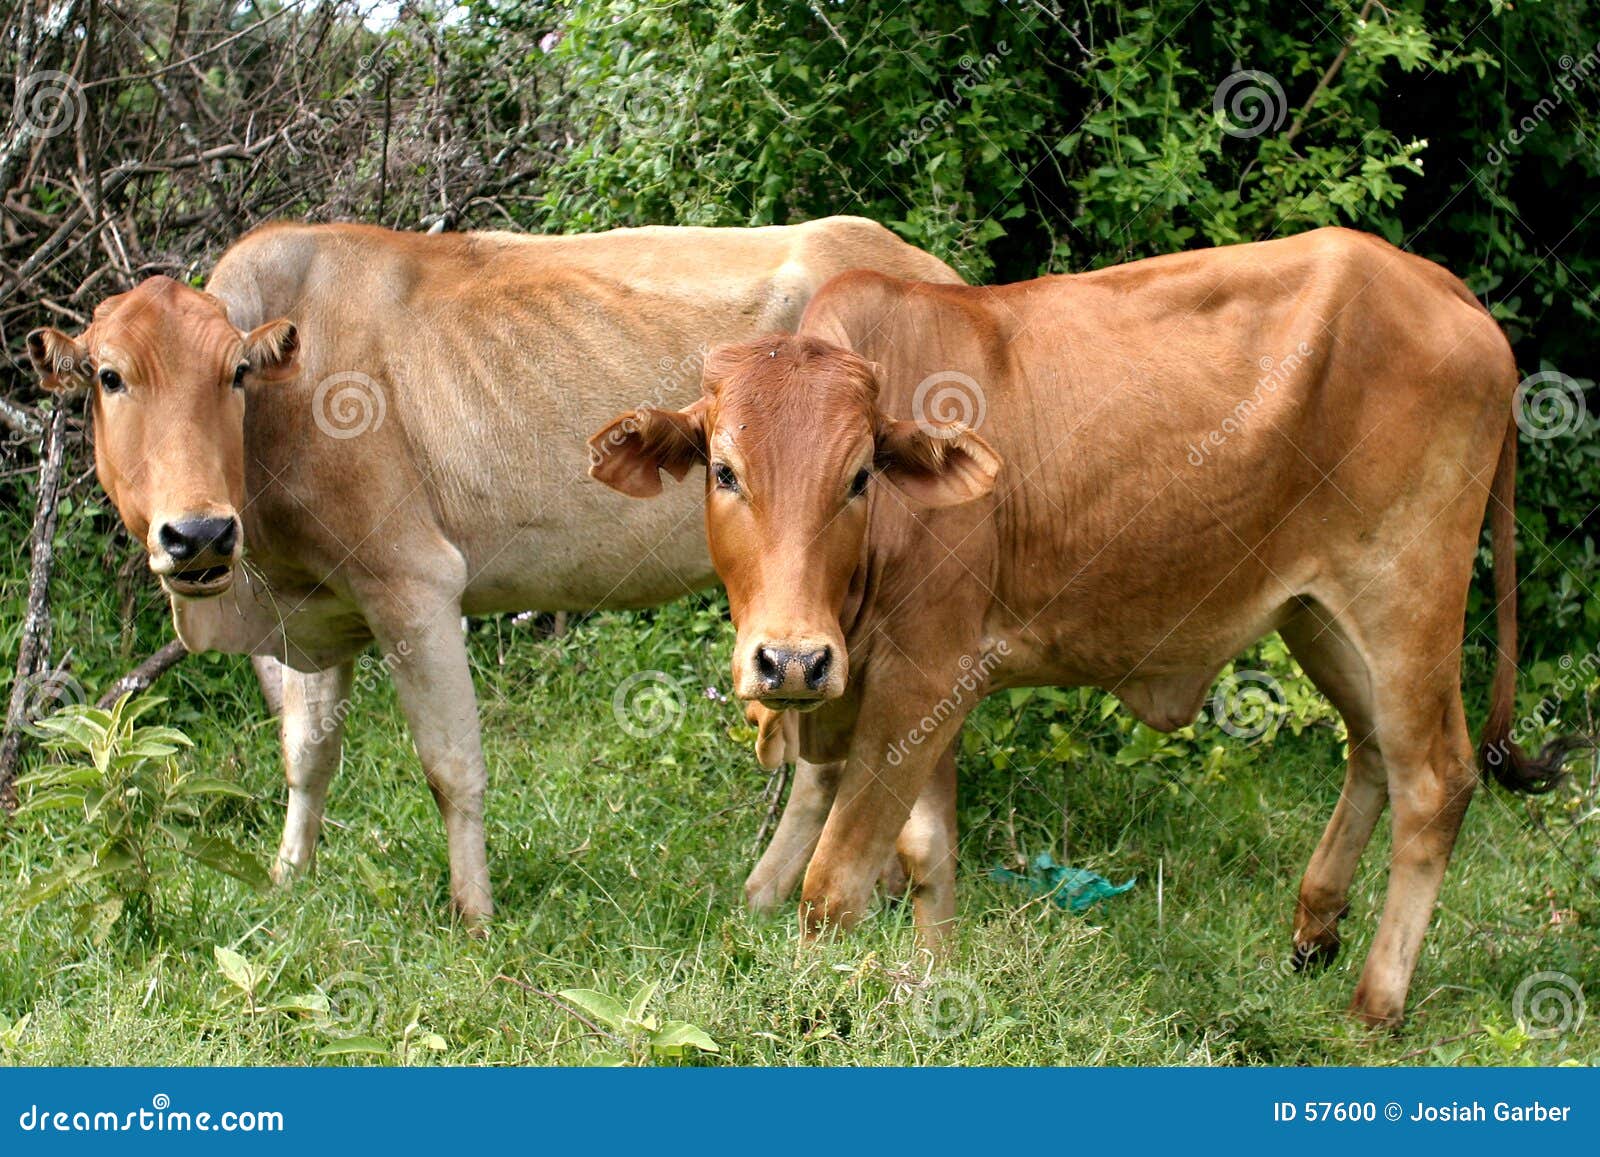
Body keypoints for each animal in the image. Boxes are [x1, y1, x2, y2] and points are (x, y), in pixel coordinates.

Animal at [24, 216, 962, 925]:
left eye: (235, 373)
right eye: (109, 375)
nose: (199, 534)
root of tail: (926, 267)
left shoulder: (414, 585)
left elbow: (451, 767)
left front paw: (472, 915)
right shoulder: (323, 607)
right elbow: (306, 754)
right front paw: (289, 878)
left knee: (841, 753)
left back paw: (776, 893)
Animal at [588, 226, 1572, 1026]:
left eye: (860, 475)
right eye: (724, 470)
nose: (791, 660)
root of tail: (1440, 285)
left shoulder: (923, 670)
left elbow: (834, 884)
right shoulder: (932, 686)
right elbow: (929, 855)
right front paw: (938, 984)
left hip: (1408, 592)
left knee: (1435, 779)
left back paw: (1376, 1000)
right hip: (1319, 613)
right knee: (1372, 750)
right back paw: (1314, 928)